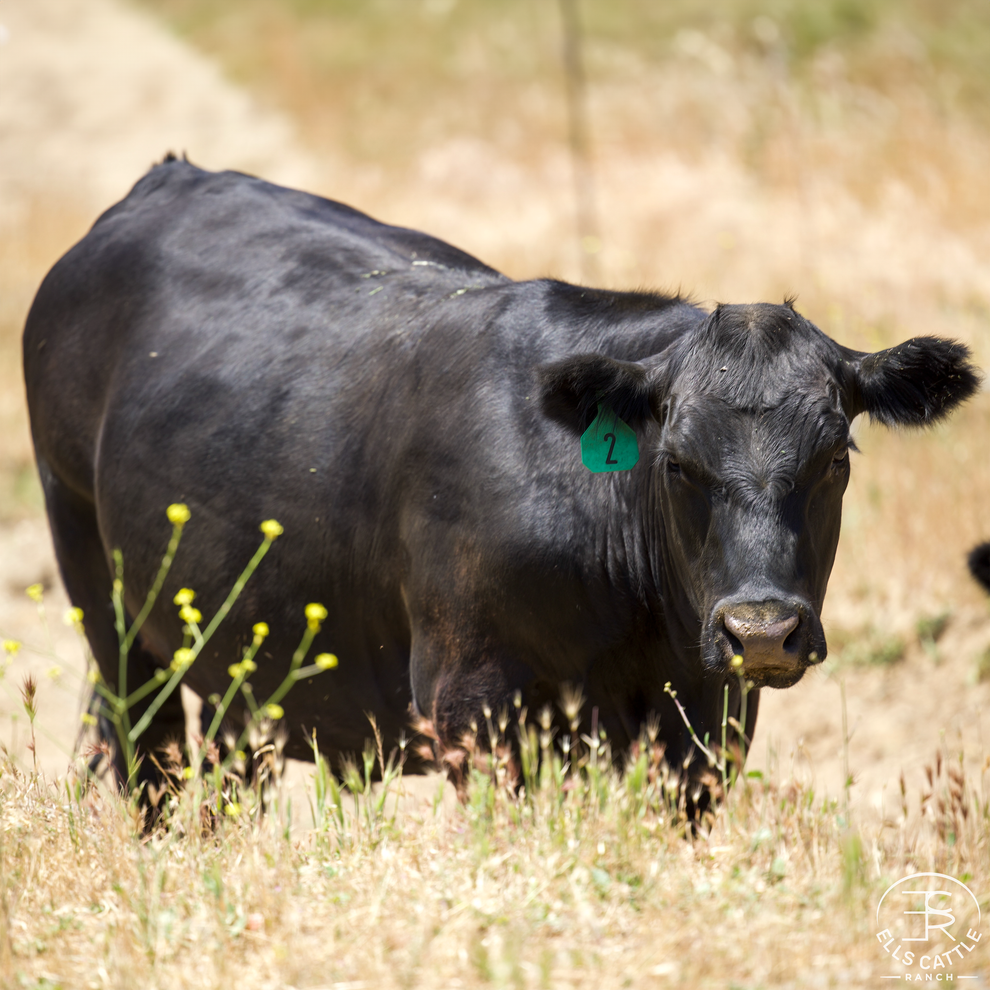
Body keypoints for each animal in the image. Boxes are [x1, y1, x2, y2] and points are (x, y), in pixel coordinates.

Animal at [23, 159, 980, 803]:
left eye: (836, 459)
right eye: (675, 462)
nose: (762, 630)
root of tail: (170, 177)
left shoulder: (707, 719)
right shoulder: (470, 703)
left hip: (228, 655)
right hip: (101, 597)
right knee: (147, 757)